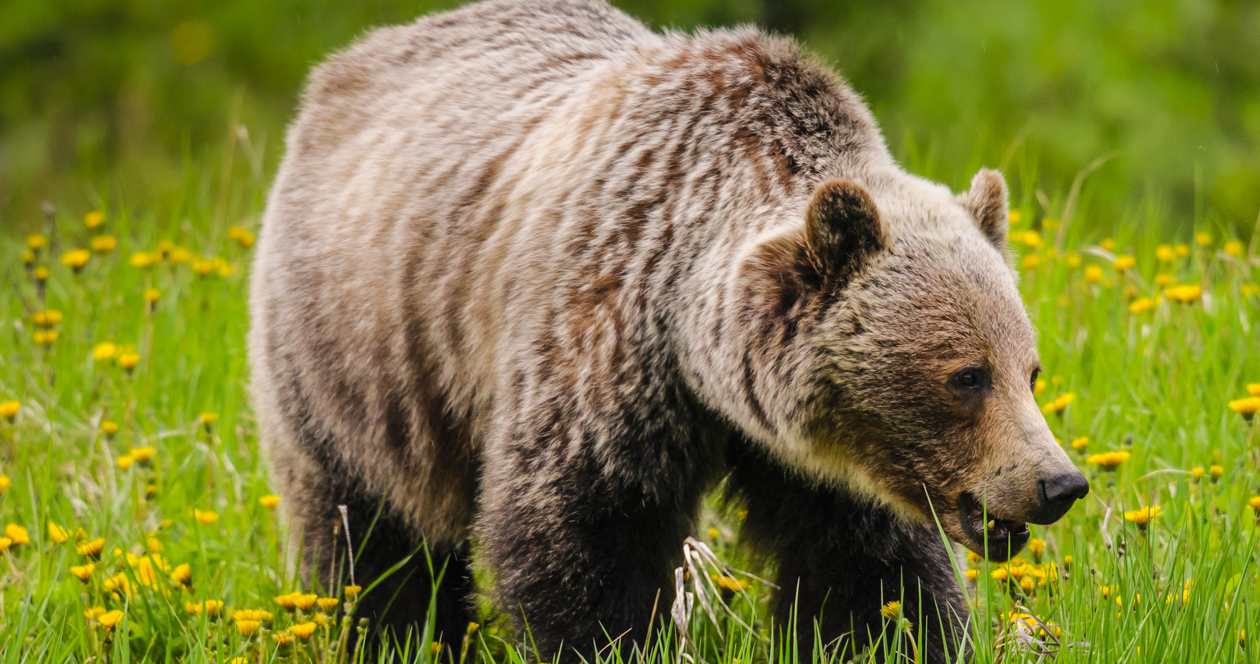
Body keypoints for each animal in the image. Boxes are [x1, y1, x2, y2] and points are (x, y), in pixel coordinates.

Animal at [247, 0, 1090, 661]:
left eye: (1032, 370)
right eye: (966, 376)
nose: (1058, 483)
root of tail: (346, 64)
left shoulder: (818, 458)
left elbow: (868, 572)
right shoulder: (601, 341)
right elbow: (585, 536)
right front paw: (614, 639)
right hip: (360, 353)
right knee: (369, 536)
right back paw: (390, 632)